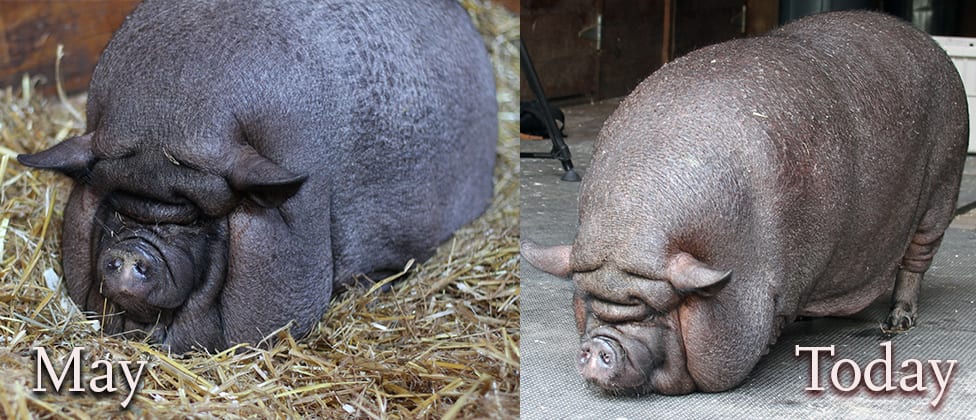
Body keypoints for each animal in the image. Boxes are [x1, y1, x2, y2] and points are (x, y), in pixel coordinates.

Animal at [521, 11, 967, 395]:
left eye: (658, 309)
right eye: (586, 299)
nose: (599, 344)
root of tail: (930, 44)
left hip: (943, 188)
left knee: (916, 261)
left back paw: (898, 322)